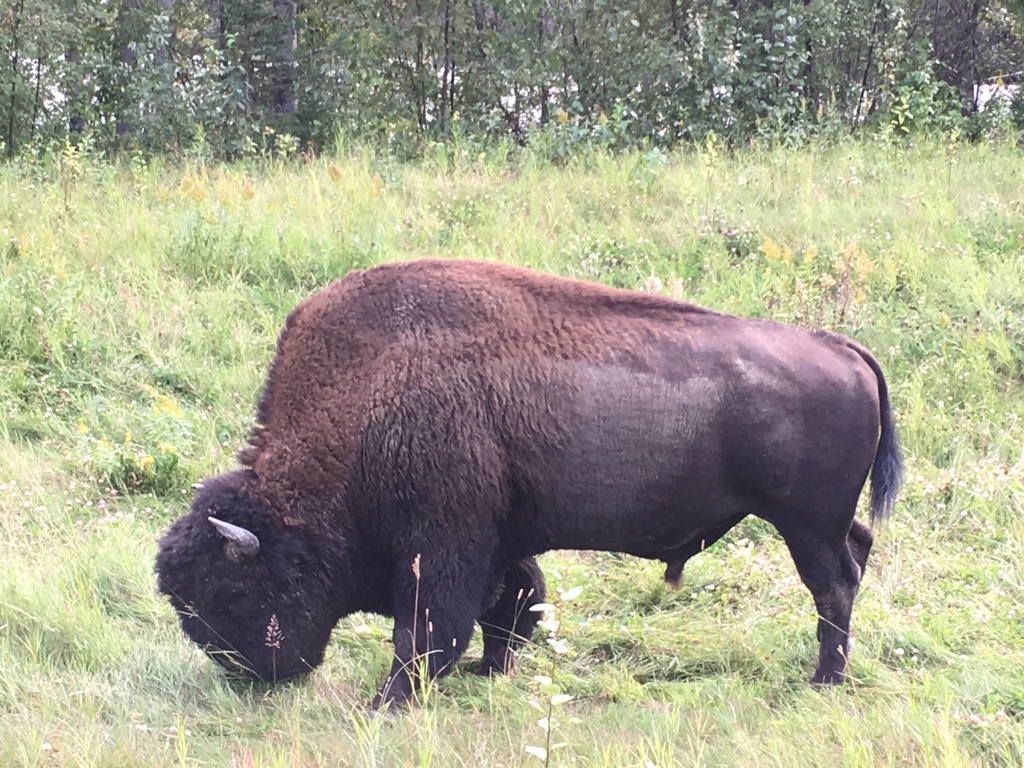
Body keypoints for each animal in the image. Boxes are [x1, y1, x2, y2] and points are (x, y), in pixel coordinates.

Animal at [155, 258, 902, 709]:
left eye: (232, 590)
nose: (252, 676)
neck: (360, 404)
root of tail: (839, 346)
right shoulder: (498, 537)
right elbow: (513, 601)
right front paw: (492, 670)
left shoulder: (441, 545)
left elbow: (429, 629)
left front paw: (388, 702)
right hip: (824, 522)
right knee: (859, 551)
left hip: (804, 524)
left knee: (833, 586)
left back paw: (824, 679)